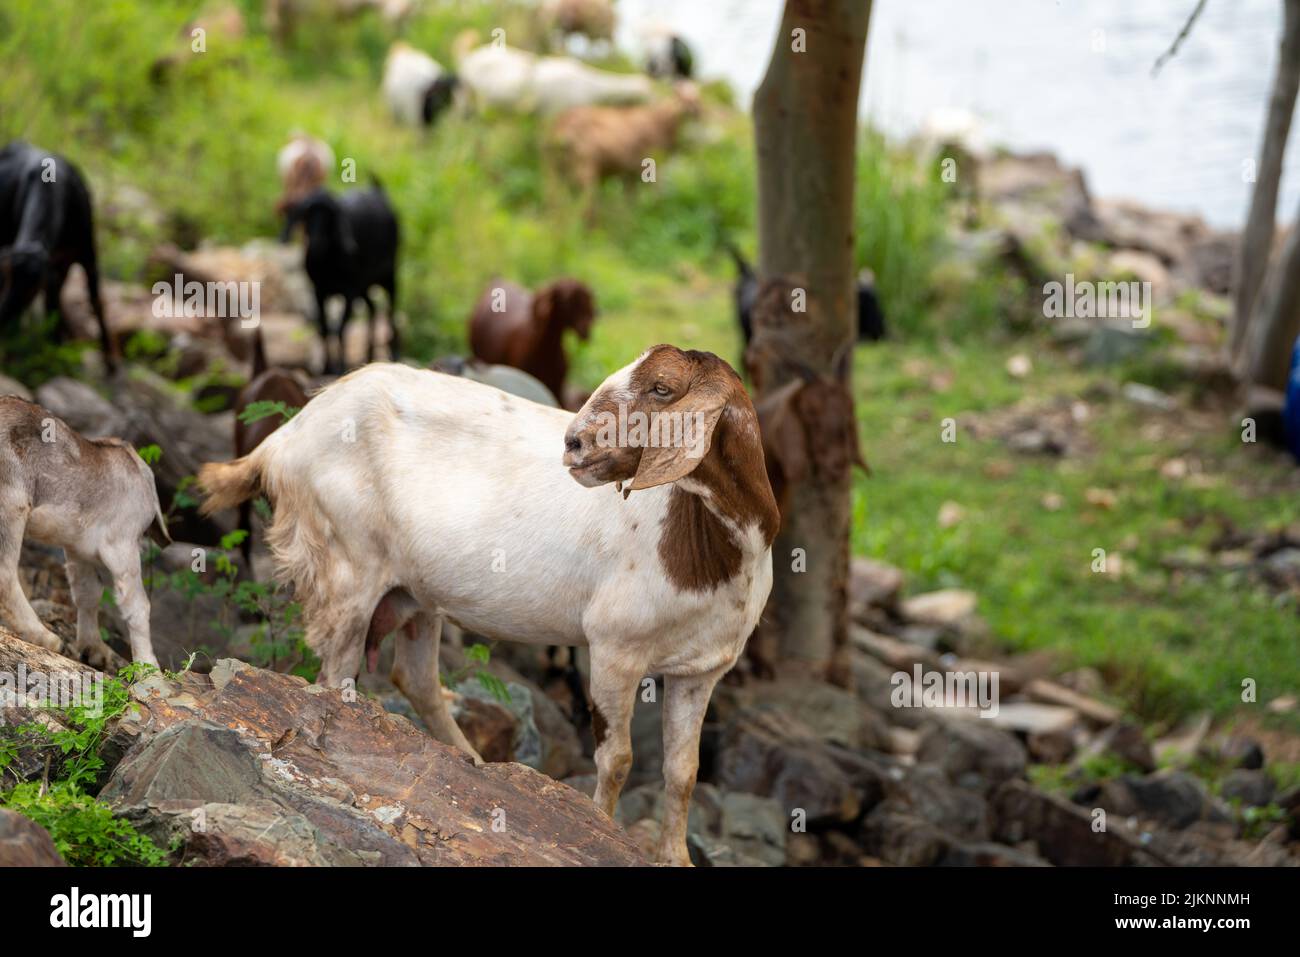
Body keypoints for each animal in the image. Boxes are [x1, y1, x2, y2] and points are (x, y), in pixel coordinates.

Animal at [0, 142, 114, 369]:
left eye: (32, 289)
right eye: (7, 278)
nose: (4, 312)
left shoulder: (88, 255)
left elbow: (96, 301)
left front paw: (110, 359)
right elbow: (52, 304)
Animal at [0, 396, 165, 669]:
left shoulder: (78, 551)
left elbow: (88, 593)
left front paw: (93, 651)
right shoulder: (122, 546)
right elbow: (137, 606)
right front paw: (150, 668)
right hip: (12, 506)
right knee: (6, 573)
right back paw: (47, 639)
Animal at [197, 345, 778, 865]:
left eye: (662, 388)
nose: (574, 443)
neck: (697, 540)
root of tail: (283, 438)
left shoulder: (701, 669)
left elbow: (683, 772)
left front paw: (676, 858)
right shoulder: (615, 649)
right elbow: (617, 760)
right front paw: (604, 833)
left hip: (413, 592)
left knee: (416, 679)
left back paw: (473, 765)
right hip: (346, 564)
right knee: (335, 678)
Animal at [279, 183, 399, 375]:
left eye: (330, 216)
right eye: (307, 214)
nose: (316, 244)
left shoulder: (349, 292)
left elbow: (341, 328)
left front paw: (340, 366)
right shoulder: (319, 291)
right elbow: (325, 328)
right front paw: (326, 367)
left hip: (389, 277)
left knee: (390, 312)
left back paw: (394, 355)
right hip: (364, 287)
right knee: (373, 309)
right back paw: (369, 356)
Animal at [548, 83, 699, 192]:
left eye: (696, 98)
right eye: (684, 99)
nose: (696, 110)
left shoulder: (630, 172)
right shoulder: (653, 166)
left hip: (558, 171)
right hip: (583, 168)